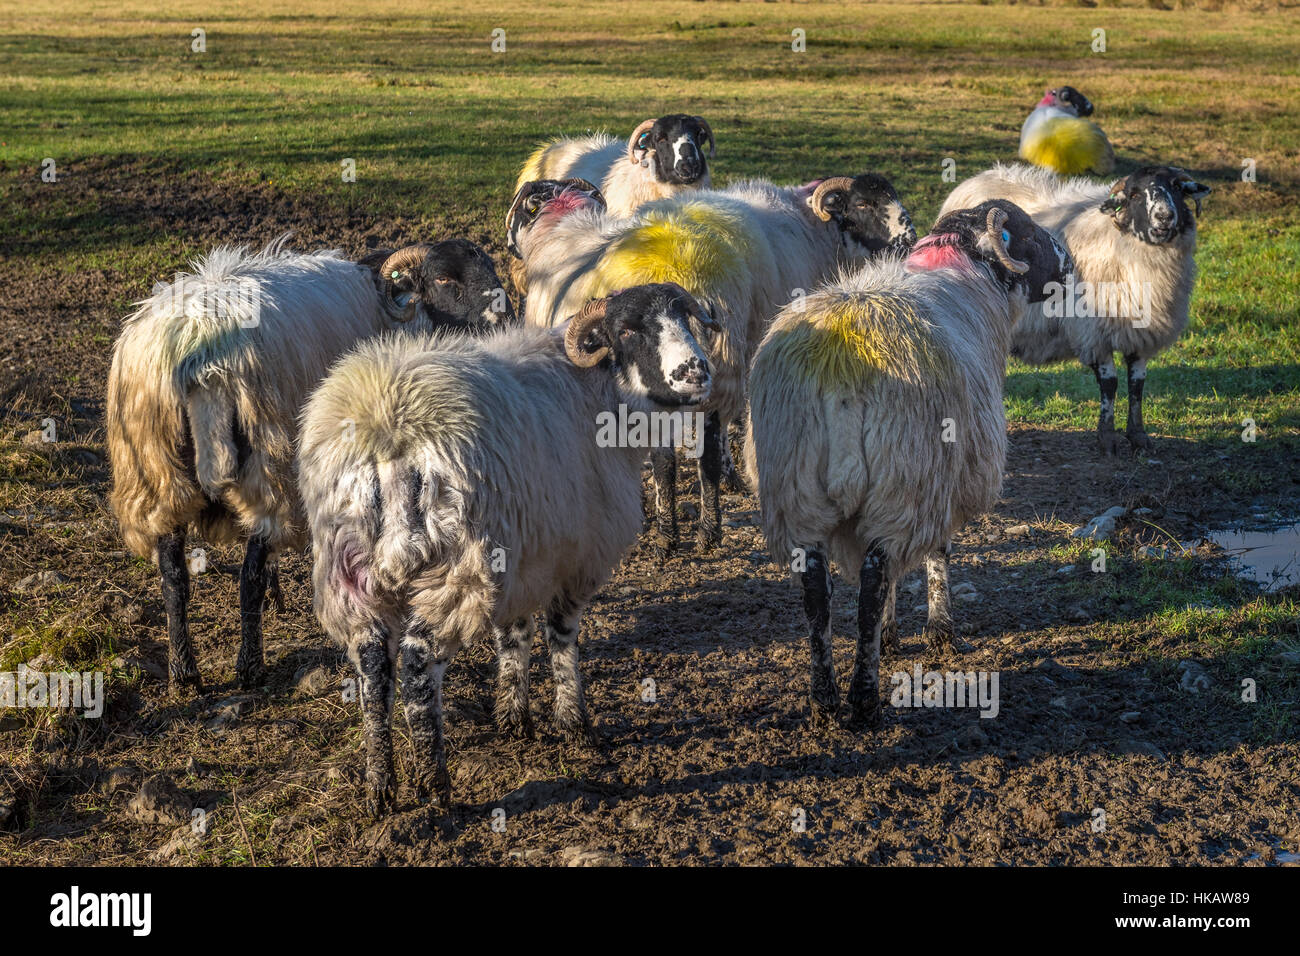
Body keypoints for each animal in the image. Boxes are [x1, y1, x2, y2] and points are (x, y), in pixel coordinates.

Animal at [107, 236, 515, 694]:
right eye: (445, 279)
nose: (504, 317)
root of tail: (204, 356)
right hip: (270, 461)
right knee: (247, 575)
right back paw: (249, 667)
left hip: (154, 469)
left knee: (174, 576)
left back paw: (184, 672)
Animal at [296, 283, 716, 815]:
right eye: (627, 330)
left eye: (686, 317)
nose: (697, 373)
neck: (596, 391)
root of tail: (386, 435)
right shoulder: (573, 558)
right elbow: (561, 637)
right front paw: (573, 723)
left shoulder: (523, 559)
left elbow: (514, 636)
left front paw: (514, 717)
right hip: (455, 569)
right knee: (416, 665)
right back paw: (435, 786)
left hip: (349, 572)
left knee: (373, 668)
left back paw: (380, 787)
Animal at [506, 172, 916, 556]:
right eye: (863, 204)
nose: (909, 240)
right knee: (700, 454)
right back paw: (698, 532)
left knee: (679, 459)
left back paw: (681, 535)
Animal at [744, 200, 1072, 727]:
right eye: (1024, 231)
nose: (1068, 261)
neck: (966, 271)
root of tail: (841, 376)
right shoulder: (943, 479)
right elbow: (938, 555)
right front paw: (940, 633)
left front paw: (890, 637)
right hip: (905, 479)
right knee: (875, 577)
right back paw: (863, 700)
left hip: (796, 490)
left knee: (816, 590)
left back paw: (824, 702)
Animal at [939, 162, 1211, 454]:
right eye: (1135, 194)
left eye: (1176, 187)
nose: (1164, 217)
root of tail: (979, 177)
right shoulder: (1093, 332)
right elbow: (1110, 384)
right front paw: (1107, 439)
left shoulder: (1140, 335)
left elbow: (1137, 384)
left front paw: (1138, 436)